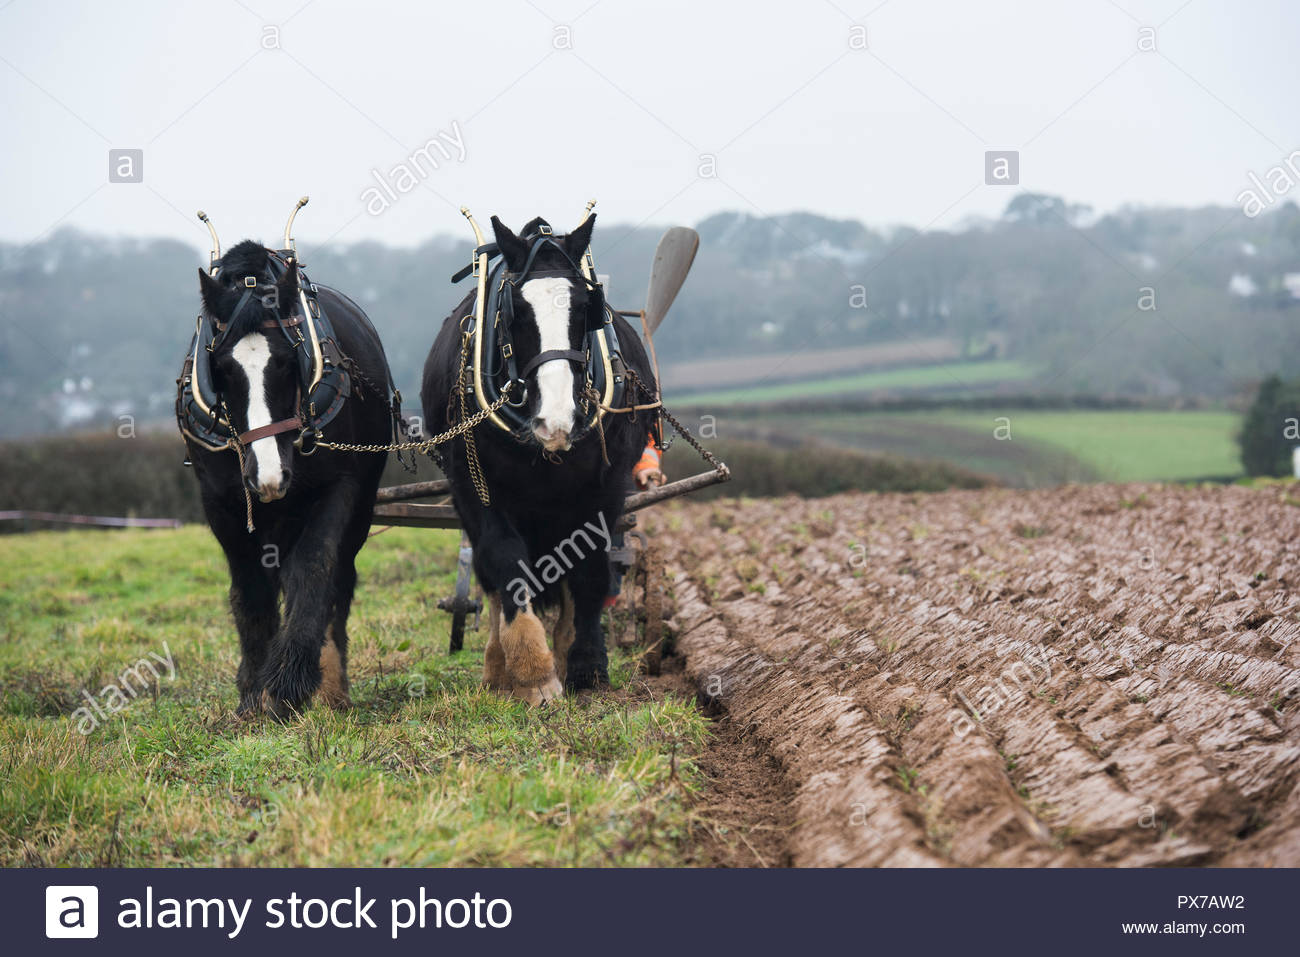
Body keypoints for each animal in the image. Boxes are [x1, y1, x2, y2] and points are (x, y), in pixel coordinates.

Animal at [178, 236, 394, 718]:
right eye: (222, 367)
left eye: (283, 361)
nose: (269, 476)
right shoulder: (219, 502)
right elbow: (251, 589)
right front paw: (252, 691)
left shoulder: (339, 487)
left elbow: (313, 567)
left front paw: (288, 679)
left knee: (339, 577)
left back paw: (333, 686)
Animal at [421, 212, 657, 704]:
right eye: (515, 312)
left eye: (587, 307)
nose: (557, 421)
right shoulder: (473, 487)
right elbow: (505, 560)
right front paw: (533, 672)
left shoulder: (606, 487)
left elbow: (589, 570)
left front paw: (586, 664)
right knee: (490, 574)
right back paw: (498, 666)